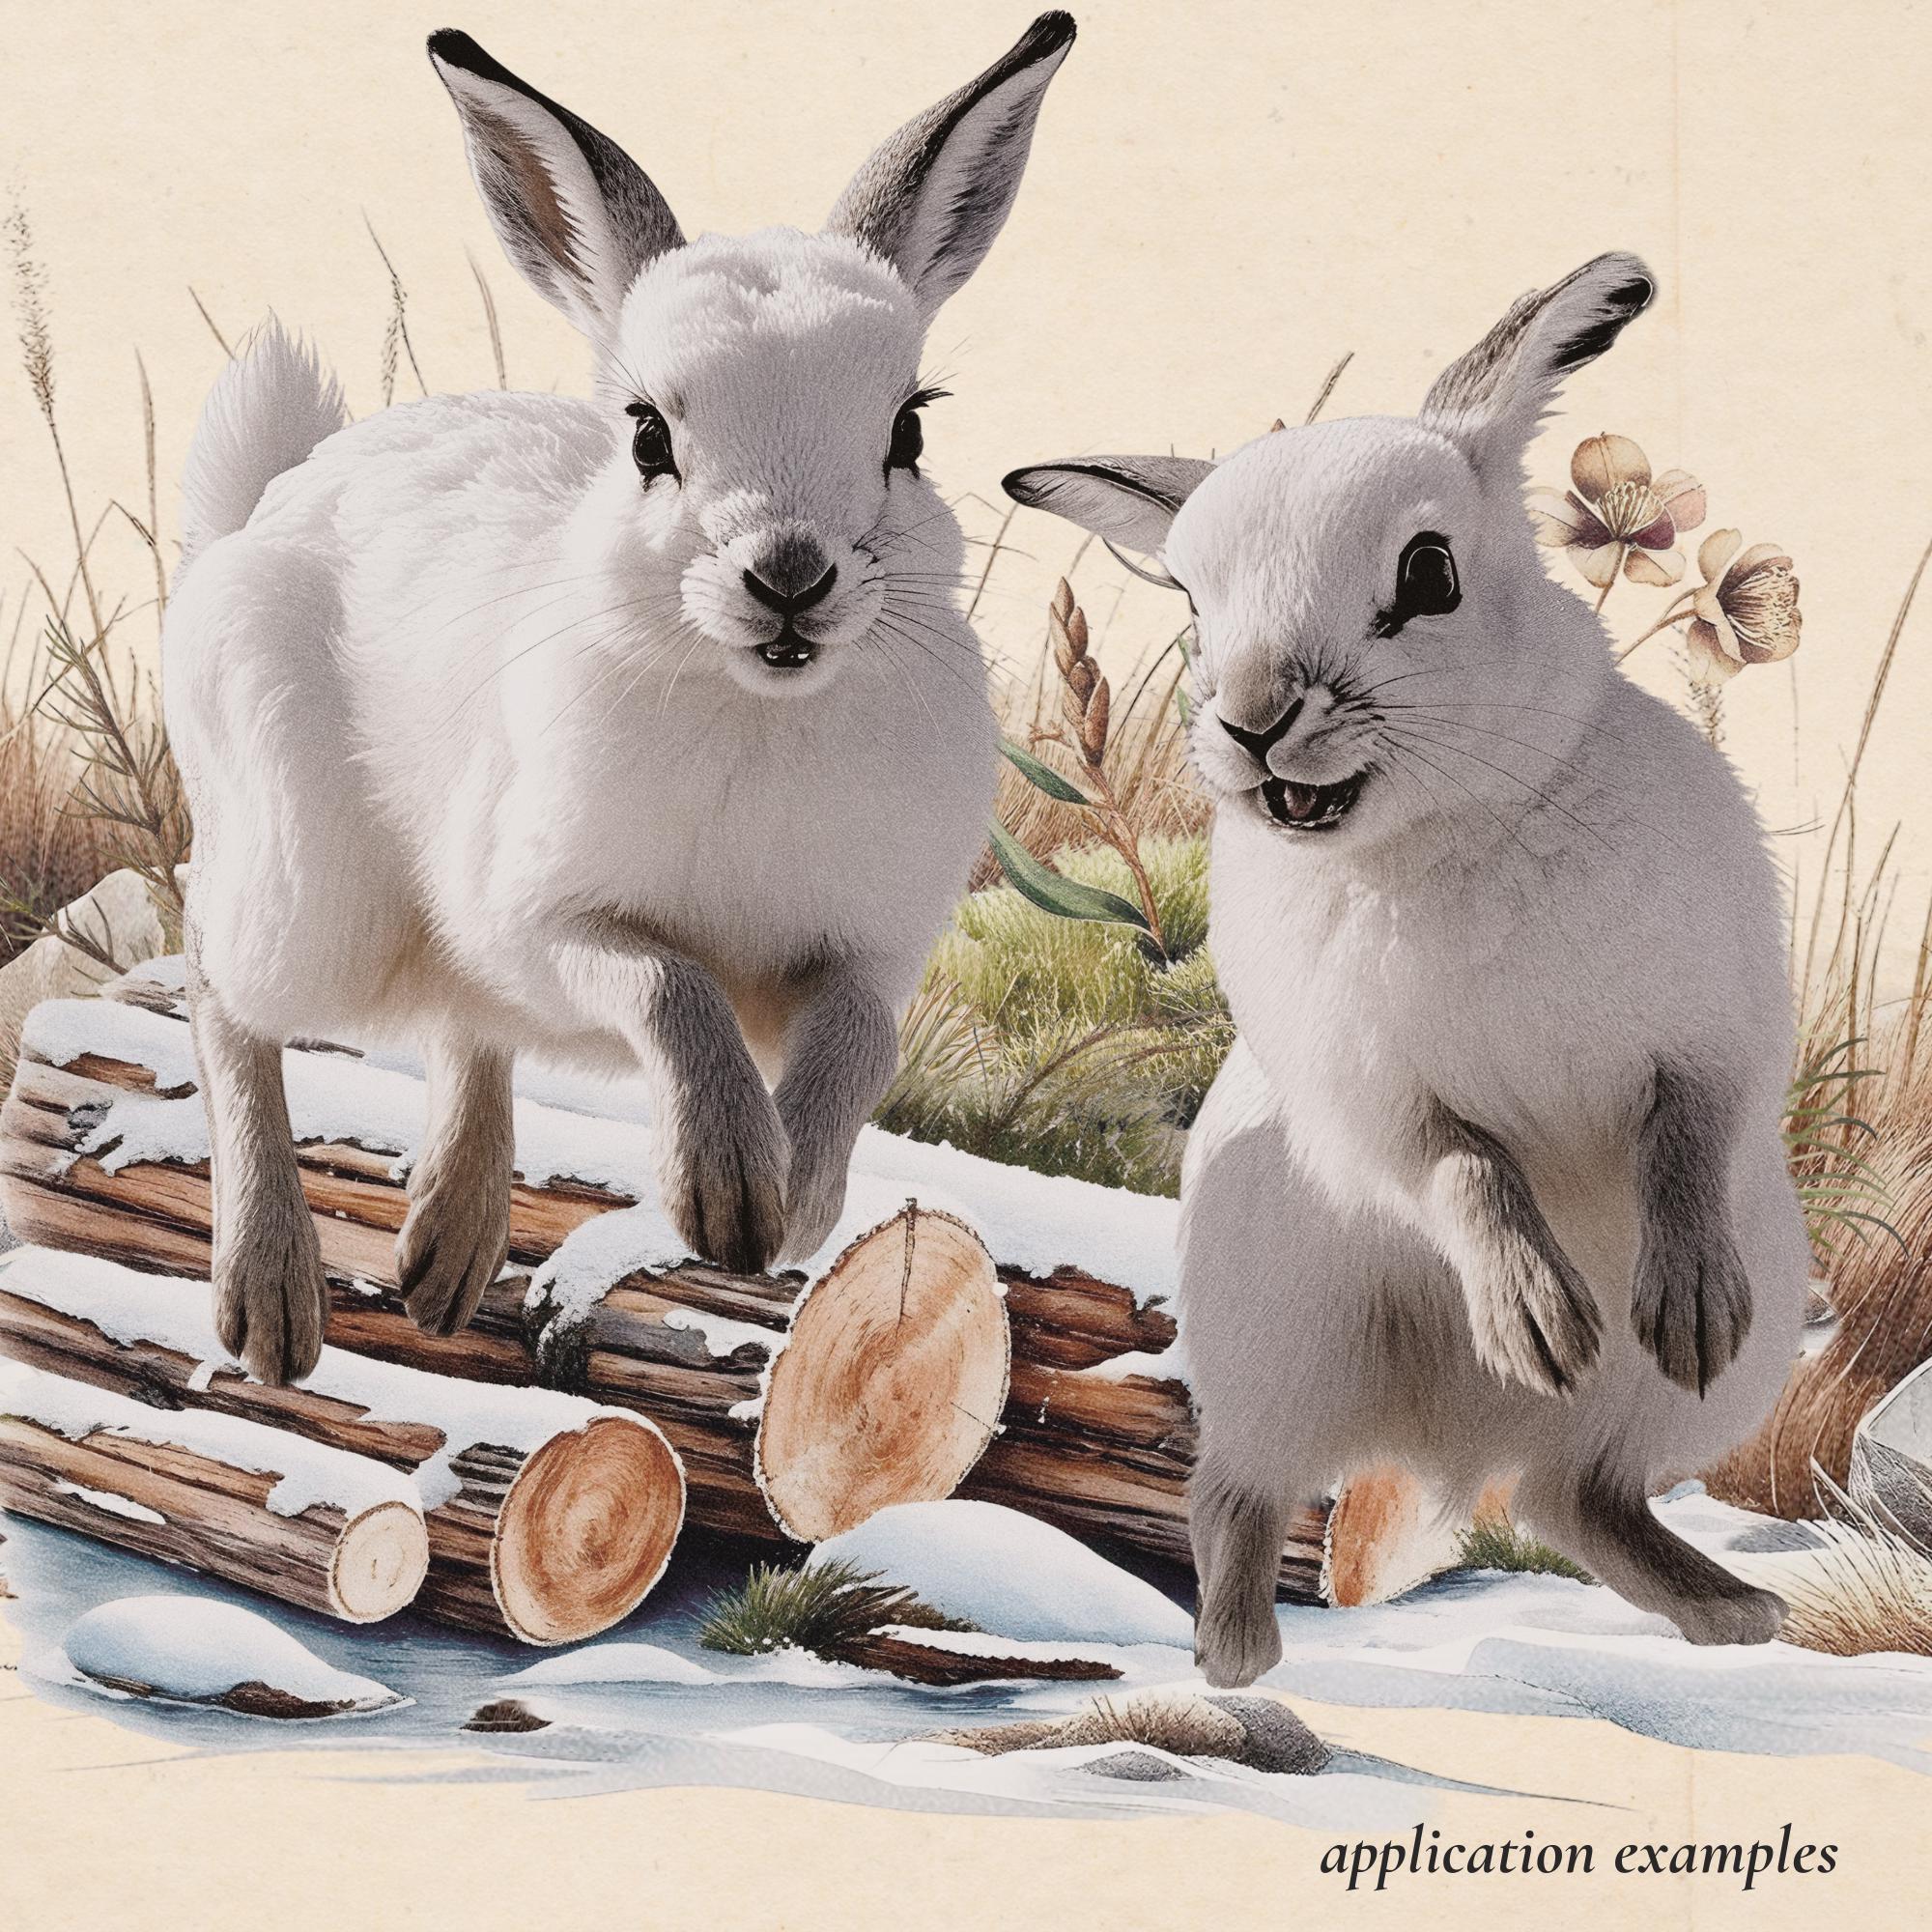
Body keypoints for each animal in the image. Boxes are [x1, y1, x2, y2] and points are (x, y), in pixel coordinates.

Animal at [164, 15, 1078, 1384]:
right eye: (648, 436)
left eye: (906, 434)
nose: (789, 573)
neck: (757, 702)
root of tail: (265, 507)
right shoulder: (546, 918)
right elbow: (667, 986)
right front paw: (728, 1194)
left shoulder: (861, 957)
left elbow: (862, 1042)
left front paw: (798, 1200)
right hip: (308, 891)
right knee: (220, 978)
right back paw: (269, 1299)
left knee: (457, 1028)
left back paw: (447, 1252)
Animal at [1004, 253, 1810, 1684]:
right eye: (1195, 604)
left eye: (1427, 571)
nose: (1252, 721)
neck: (1449, 827)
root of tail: (1457, 1444)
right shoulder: (1367, 1098)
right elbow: (1465, 1168)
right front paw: (1536, 1318)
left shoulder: (1711, 1032)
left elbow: (1681, 1136)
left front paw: (1683, 1303)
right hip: (1280, 1340)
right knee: (1233, 1489)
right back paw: (1235, 1657)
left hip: (1700, 1373)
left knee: (1573, 1497)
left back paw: (1732, 1607)